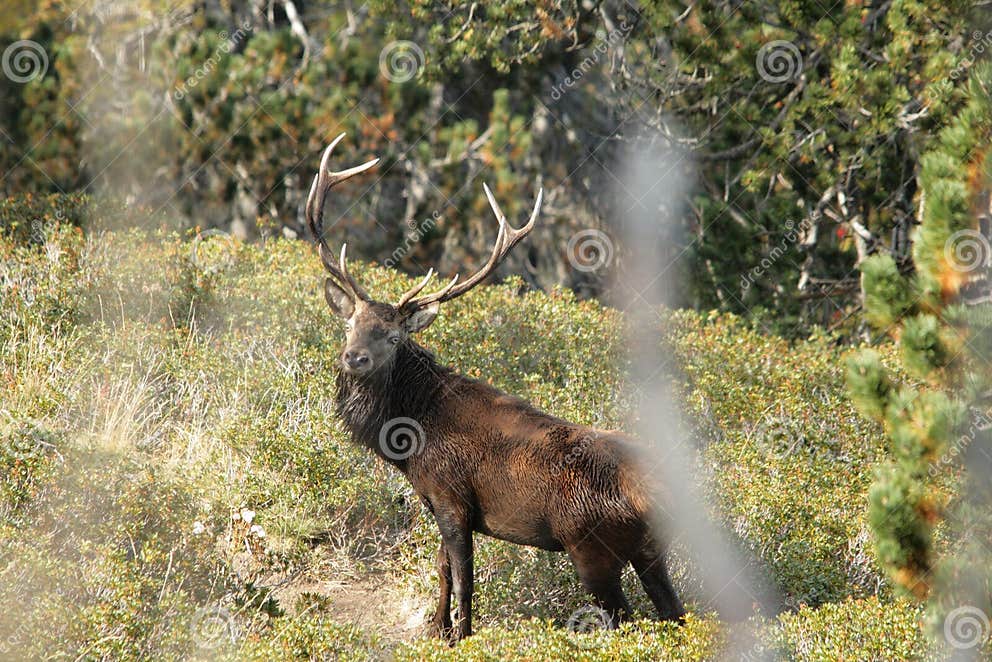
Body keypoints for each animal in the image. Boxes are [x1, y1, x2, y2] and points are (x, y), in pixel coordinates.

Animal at [305, 134, 685, 642]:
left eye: (393, 336)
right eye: (350, 325)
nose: (355, 358)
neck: (409, 440)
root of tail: (660, 492)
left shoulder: (451, 495)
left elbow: (464, 576)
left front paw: (462, 634)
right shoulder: (436, 501)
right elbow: (443, 571)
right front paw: (437, 630)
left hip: (591, 546)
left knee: (621, 616)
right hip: (648, 550)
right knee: (675, 610)